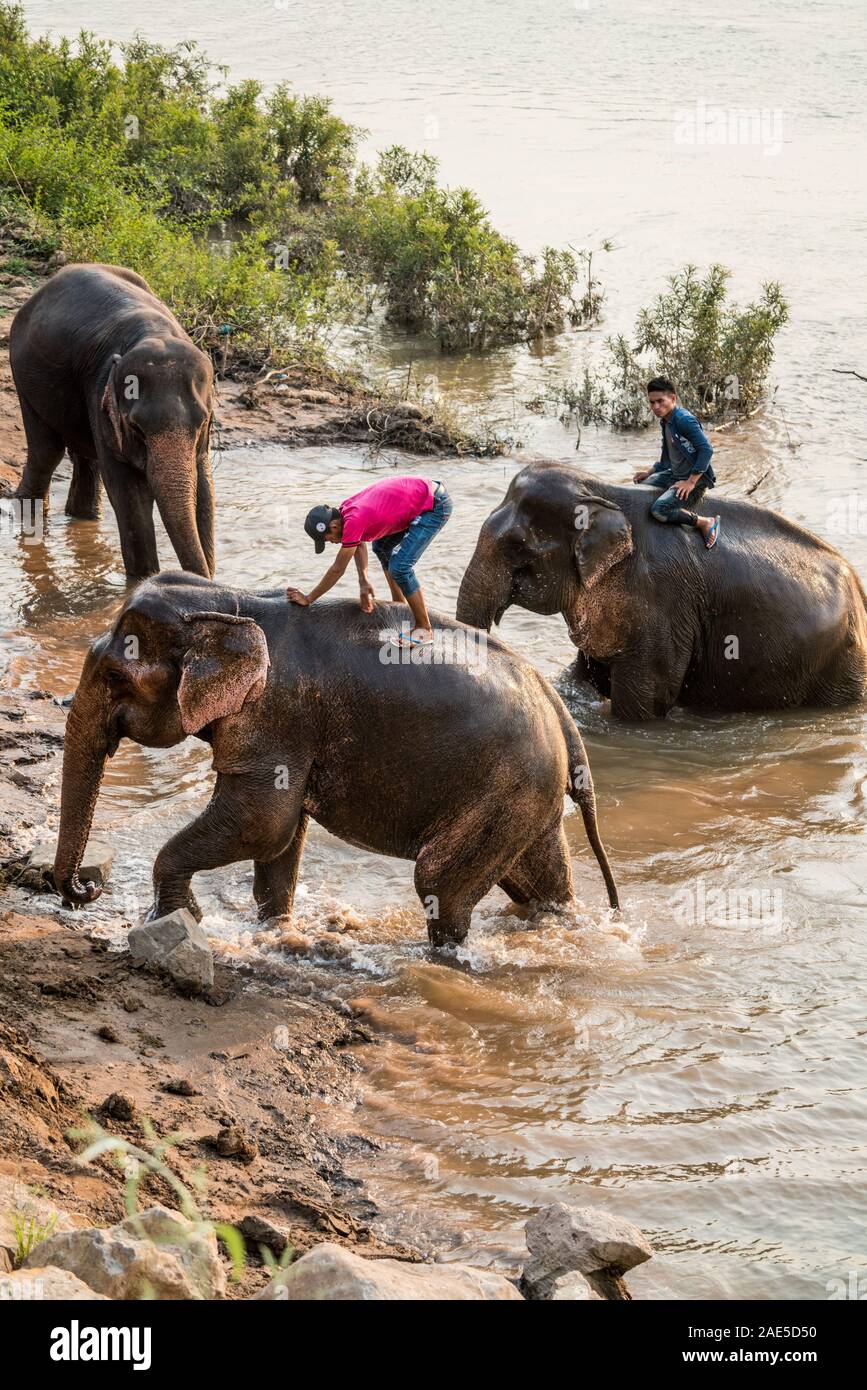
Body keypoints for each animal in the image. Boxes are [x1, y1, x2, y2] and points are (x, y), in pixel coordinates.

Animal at [11, 263, 215, 580]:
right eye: (137, 429)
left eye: (203, 424)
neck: (155, 333)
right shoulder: (100, 391)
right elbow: (128, 494)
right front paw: (143, 581)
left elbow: (205, 490)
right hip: (24, 376)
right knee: (47, 452)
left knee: (83, 456)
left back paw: (83, 517)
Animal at [53, 574, 620, 946]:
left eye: (114, 677)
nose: (87, 887)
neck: (228, 600)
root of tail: (561, 715)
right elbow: (280, 841)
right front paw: (271, 931)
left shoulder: (277, 714)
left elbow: (263, 823)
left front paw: (171, 917)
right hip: (525, 797)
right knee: (539, 883)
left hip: (505, 790)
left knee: (439, 885)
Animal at [457, 461, 867, 721]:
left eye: (516, 546)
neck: (601, 492)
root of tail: (858, 586)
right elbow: (584, 674)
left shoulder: (661, 603)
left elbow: (646, 701)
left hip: (839, 664)